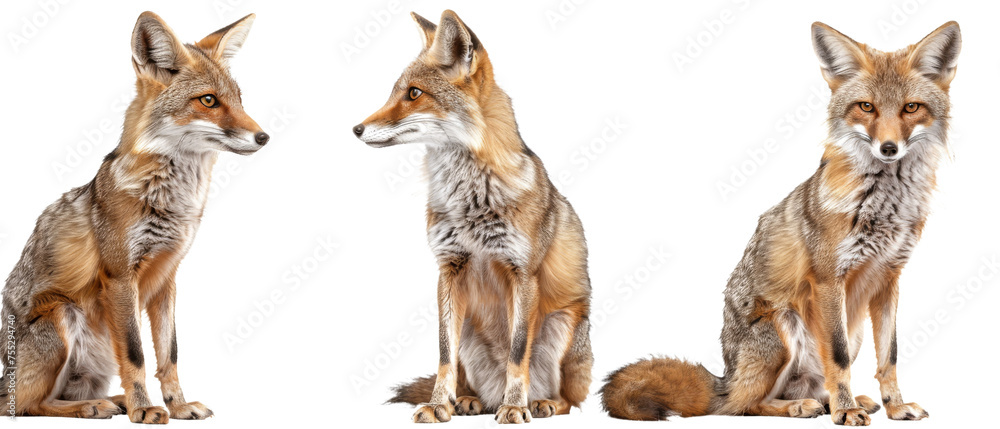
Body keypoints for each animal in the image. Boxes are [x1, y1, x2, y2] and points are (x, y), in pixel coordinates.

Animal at [0, 12, 268, 424]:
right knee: (28, 404)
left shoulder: (166, 278)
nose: (264, 137)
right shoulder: (120, 277)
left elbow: (169, 354)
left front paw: (177, 405)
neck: (172, 203)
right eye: (209, 100)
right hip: (62, 317)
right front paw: (144, 408)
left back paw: (114, 400)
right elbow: (136, 353)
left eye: (239, 100)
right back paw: (94, 406)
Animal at [353, 10, 593, 425]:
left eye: (413, 93)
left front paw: (515, 406)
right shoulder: (449, 268)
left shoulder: (522, 272)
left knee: (570, 398)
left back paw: (537, 403)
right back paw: (469, 400)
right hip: (468, 328)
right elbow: (443, 355)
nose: (356, 129)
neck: (471, 200)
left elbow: (517, 352)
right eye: (395, 92)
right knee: (468, 377)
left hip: (561, 325)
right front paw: (438, 404)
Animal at [600, 21, 960, 426]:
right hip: (784, 327)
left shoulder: (888, 279)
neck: (885, 206)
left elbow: (890, 356)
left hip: (846, 334)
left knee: (803, 388)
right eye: (866, 106)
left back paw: (836, 401)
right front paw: (846, 412)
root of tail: (725, 377)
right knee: (742, 406)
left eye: (910, 107)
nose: (888, 148)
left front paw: (894, 406)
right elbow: (837, 357)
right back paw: (803, 406)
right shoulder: (827, 280)